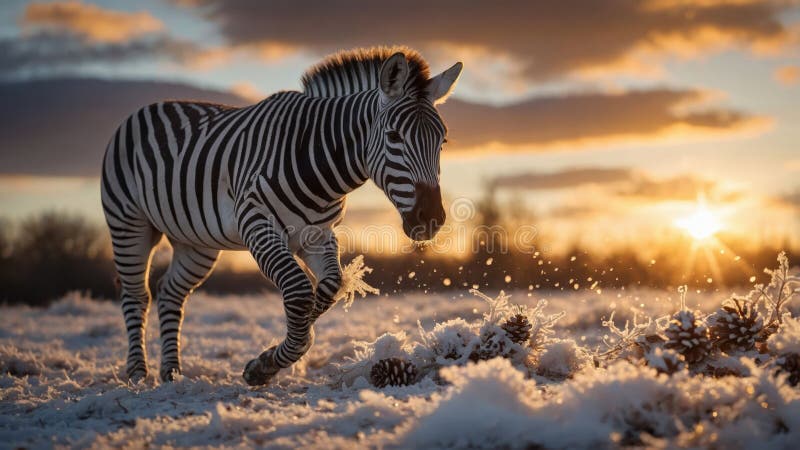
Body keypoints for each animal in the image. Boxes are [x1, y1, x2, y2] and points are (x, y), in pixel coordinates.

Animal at [101, 47, 462, 385]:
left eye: (443, 140)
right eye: (394, 137)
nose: (430, 218)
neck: (319, 167)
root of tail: (147, 108)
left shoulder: (318, 235)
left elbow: (328, 288)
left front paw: (269, 360)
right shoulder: (257, 223)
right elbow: (300, 292)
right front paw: (269, 363)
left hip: (195, 242)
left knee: (170, 292)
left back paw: (171, 374)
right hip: (129, 223)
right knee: (137, 295)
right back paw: (137, 374)